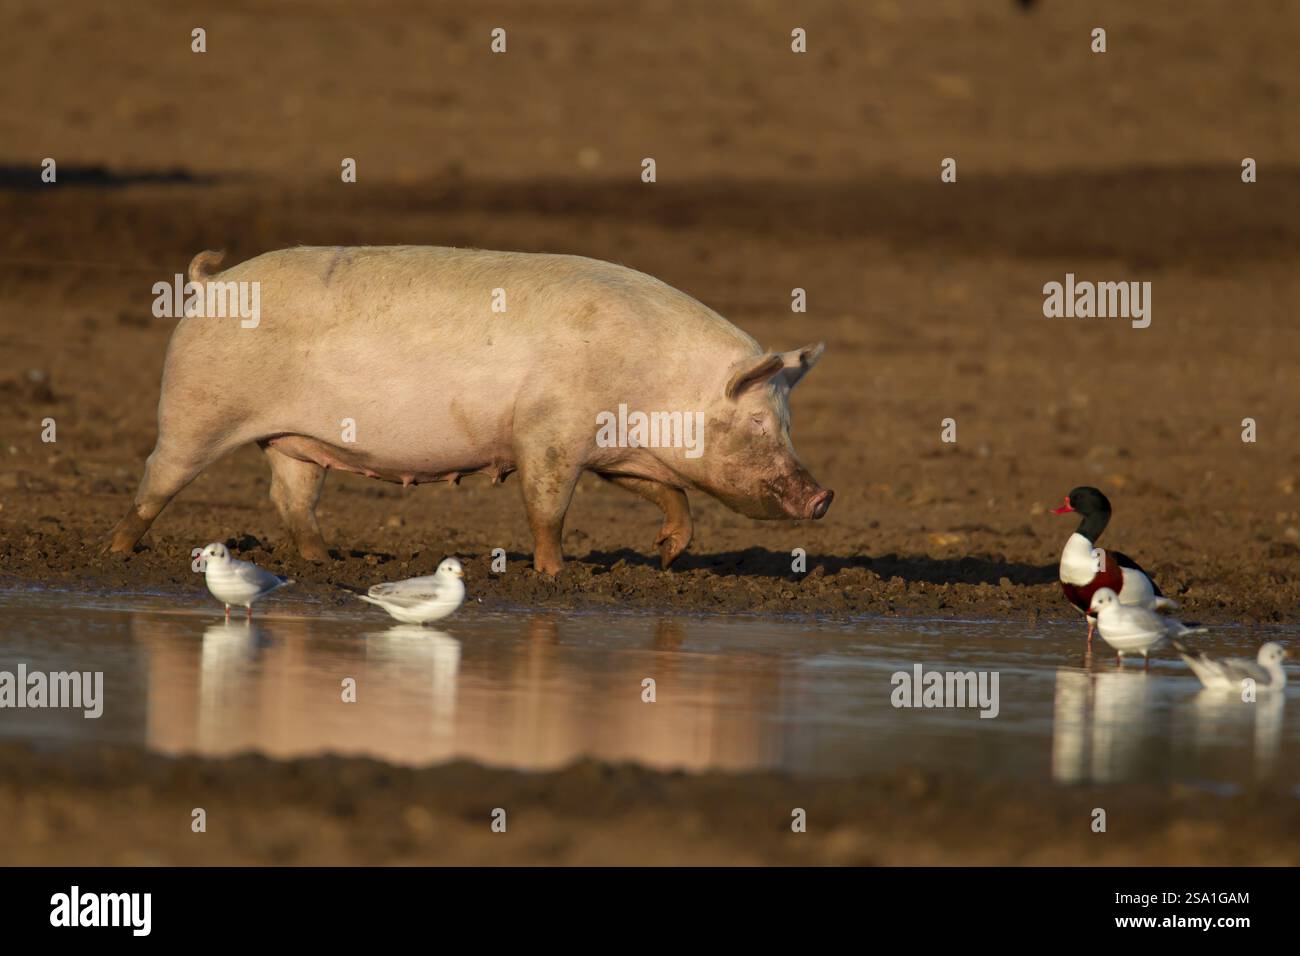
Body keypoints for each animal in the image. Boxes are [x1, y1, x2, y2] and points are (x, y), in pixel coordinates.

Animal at [107, 246, 833, 572]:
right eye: (759, 422)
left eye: (790, 423)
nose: (823, 496)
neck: (654, 389)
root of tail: (211, 284)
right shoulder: (548, 433)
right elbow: (547, 509)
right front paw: (555, 574)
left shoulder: (616, 449)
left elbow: (667, 490)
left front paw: (666, 554)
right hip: (195, 409)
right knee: (155, 478)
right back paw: (118, 553)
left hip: (291, 439)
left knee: (292, 498)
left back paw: (326, 562)